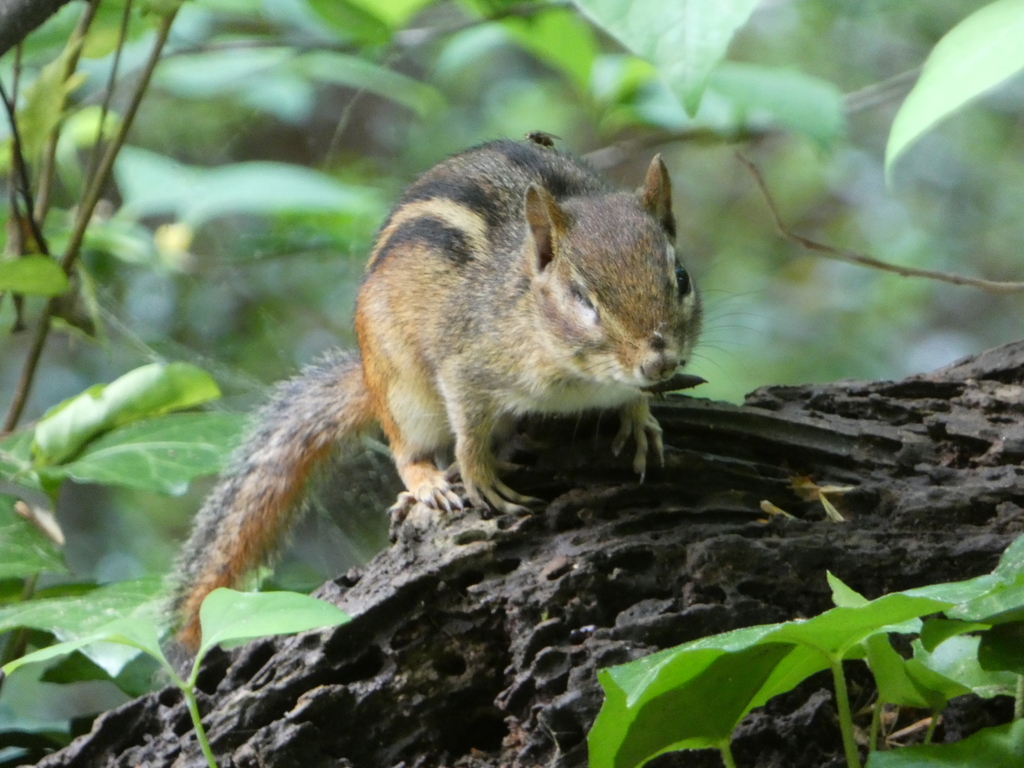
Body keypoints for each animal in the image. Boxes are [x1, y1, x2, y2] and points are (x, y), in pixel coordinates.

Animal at [169, 137, 702, 650]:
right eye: (581, 298)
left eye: (681, 278)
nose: (659, 363)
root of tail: (369, 377)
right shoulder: (465, 366)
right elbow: (467, 431)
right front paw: (478, 474)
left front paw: (641, 421)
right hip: (403, 392)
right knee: (407, 450)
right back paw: (428, 482)